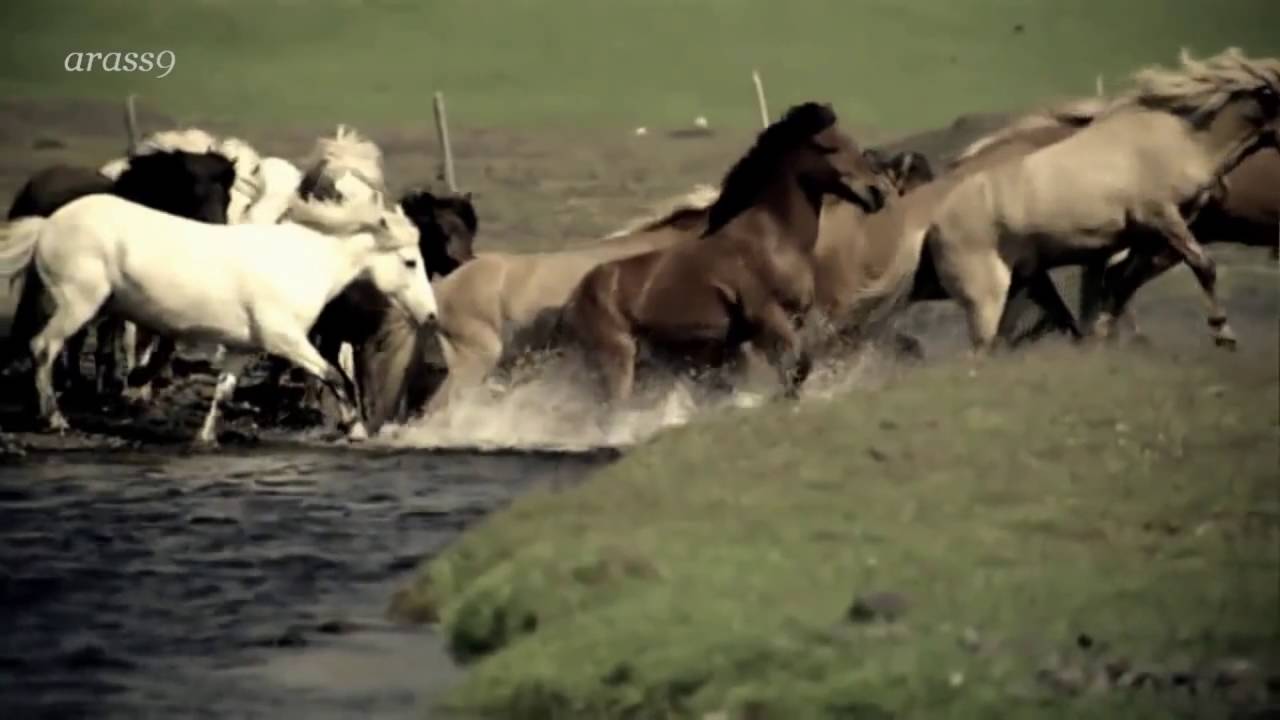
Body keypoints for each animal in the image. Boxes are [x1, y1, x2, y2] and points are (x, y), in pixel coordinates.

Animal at [0, 190, 437, 446]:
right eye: (410, 262)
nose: (431, 315)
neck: (301, 263)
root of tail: (48, 225)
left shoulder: (242, 348)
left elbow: (223, 397)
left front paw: (205, 441)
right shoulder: (287, 341)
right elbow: (336, 376)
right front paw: (357, 428)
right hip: (79, 304)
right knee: (43, 348)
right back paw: (55, 419)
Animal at [565, 101, 890, 407]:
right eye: (828, 147)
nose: (878, 193)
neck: (773, 237)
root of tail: (576, 297)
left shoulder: (786, 322)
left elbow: (794, 368)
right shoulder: (766, 315)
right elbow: (799, 364)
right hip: (618, 357)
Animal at [922, 47, 1279, 353]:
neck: (1184, 140)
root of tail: (936, 223)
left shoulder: (1152, 236)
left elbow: (1123, 283)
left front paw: (1103, 334)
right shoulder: (1161, 218)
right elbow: (1202, 265)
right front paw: (1224, 333)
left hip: (1020, 282)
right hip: (988, 295)